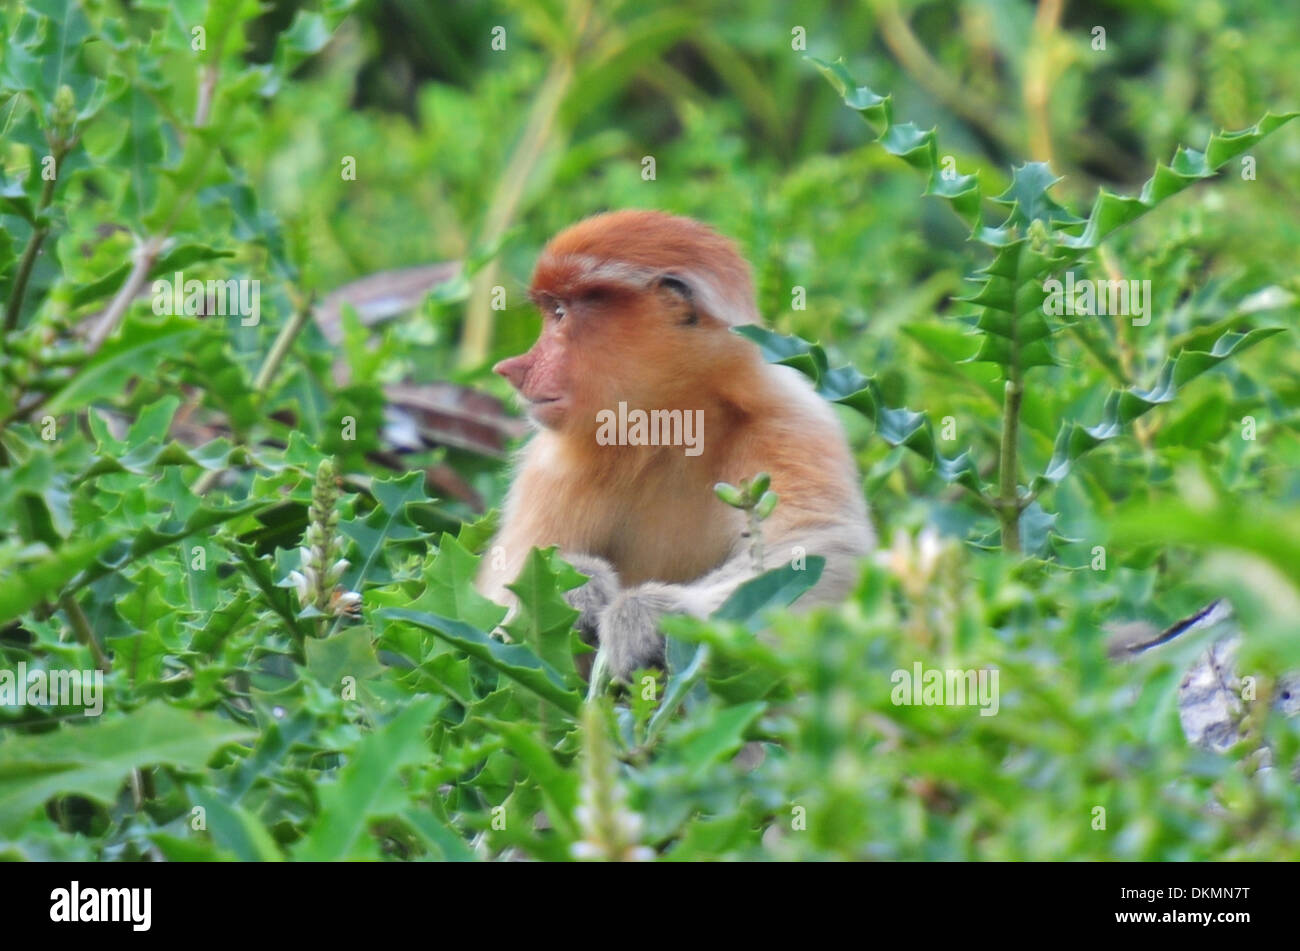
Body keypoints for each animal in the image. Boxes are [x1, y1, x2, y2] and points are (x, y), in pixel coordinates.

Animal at [477, 210, 874, 680]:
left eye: (559, 312)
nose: (512, 369)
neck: (669, 428)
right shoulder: (554, 465)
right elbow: (496, 600)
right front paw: (578, 586)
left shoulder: (791, 420)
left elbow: (823, 546)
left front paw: (642, 617)